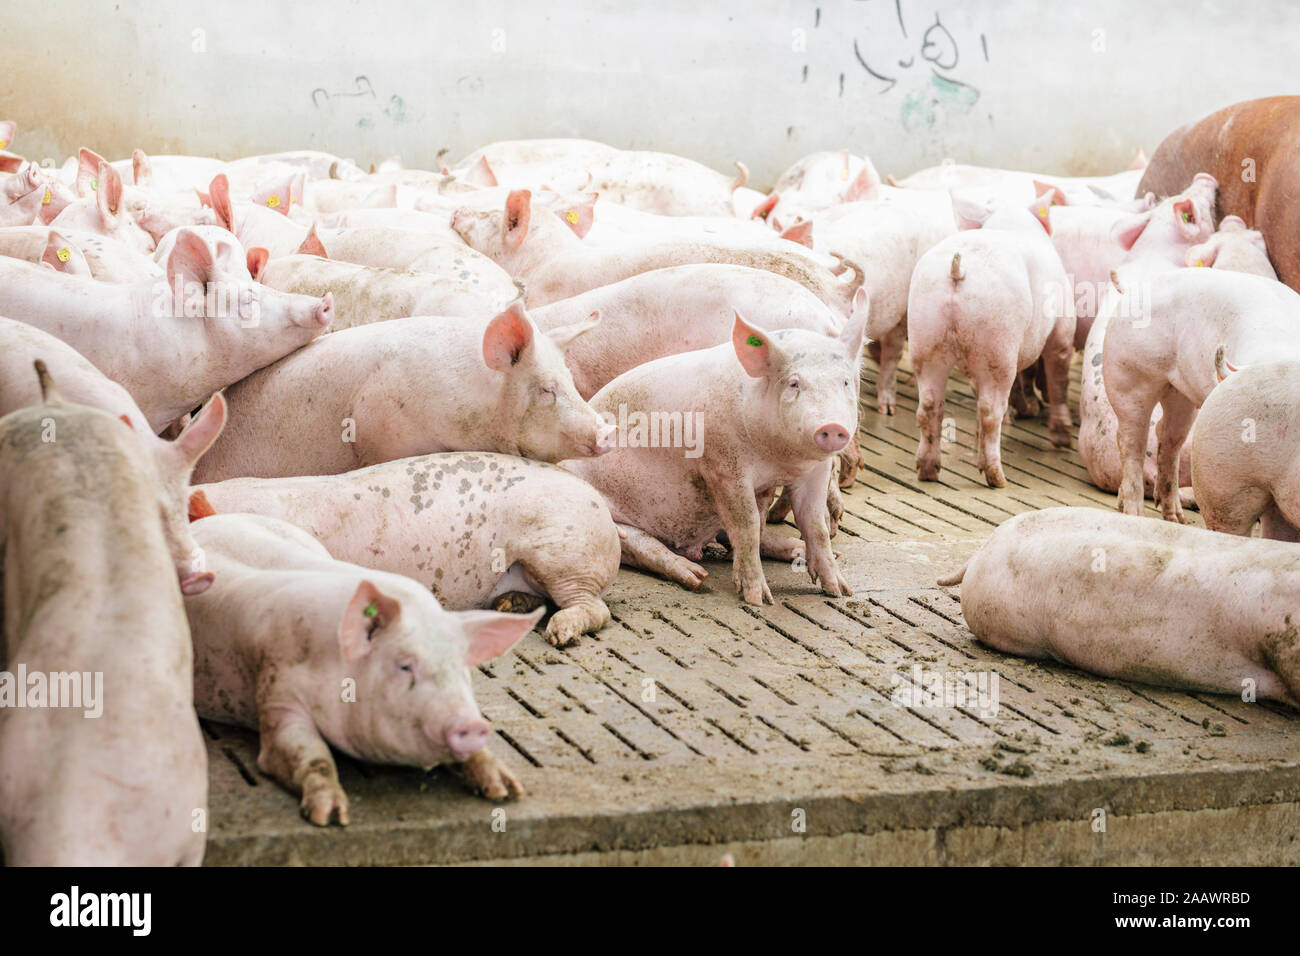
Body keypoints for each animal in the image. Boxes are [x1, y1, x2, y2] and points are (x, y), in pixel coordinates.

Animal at [185, 513, 542, 824]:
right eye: (405, 665)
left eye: (462, 668)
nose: (473, 725)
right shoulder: (276, 689)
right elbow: (308, 753)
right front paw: (330, 816)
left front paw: (507, 790)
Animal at [564, 297, 868, 604]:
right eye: (794, 383)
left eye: (844, 381)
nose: (832, 426)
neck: (780, 460)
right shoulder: (723, 467)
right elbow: (745, 525)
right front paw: (759, 599)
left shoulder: (816, 471)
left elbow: (815, 526)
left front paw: (839, 590)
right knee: (638, 545)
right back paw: (696, 576)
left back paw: (803, 549)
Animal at [907, 194, 1075, 487]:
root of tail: (958, 269)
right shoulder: (1063, 327)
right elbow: (1059, 377)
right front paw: (1063, 440)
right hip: (998, 345)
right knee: (990, 411)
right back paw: (997, 478)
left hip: (924, 333)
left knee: (929, 406)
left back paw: (928, 472)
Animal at [1105, 268, 1300, 521]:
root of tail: (1133, 289)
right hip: (1128, 378)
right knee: (1130, 441)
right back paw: (1134, 514)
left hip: (1180, 394)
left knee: (1168, 437)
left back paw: (1177, 518)